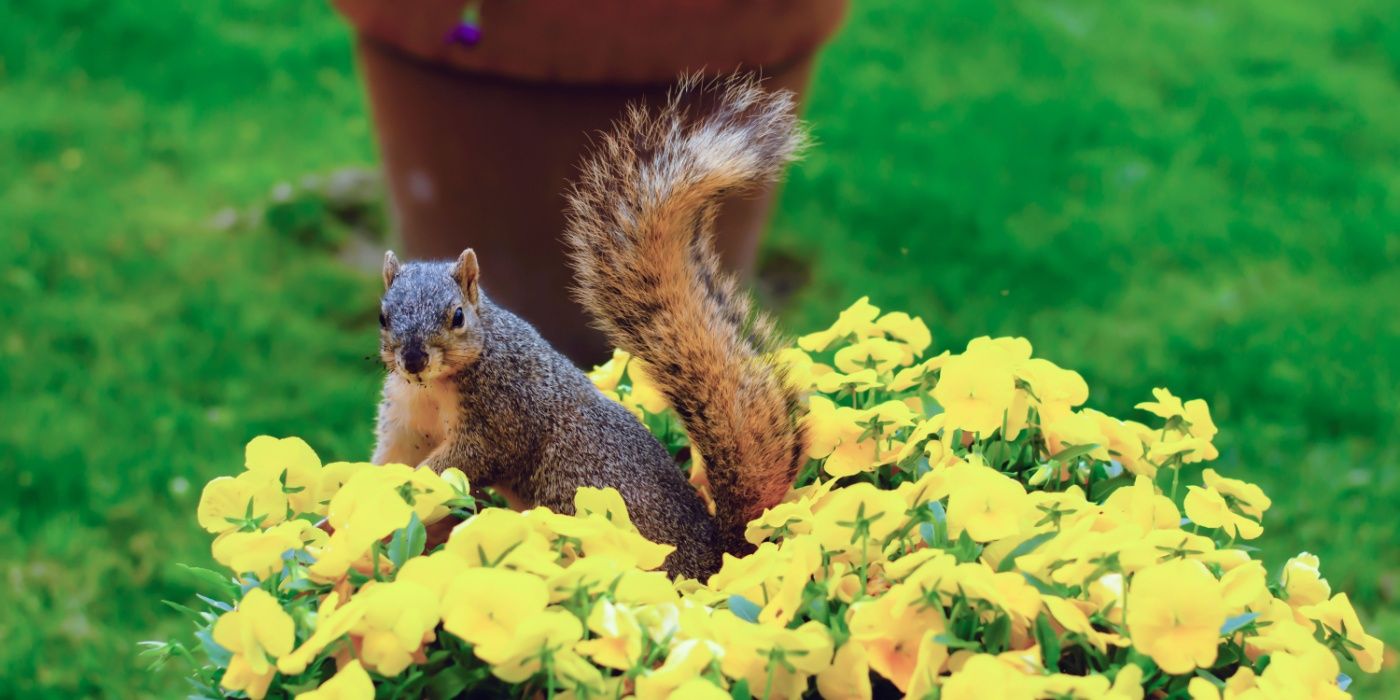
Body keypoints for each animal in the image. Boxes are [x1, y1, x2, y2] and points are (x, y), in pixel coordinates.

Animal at [371, 76, 807, 579]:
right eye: (383, 316)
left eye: (457, 316)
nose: (413, 359)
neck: (433, 387)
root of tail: (716, 557)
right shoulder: (405, 421)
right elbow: (389, 458)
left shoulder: (503, 417)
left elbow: (467, 458)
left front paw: (415, 485)